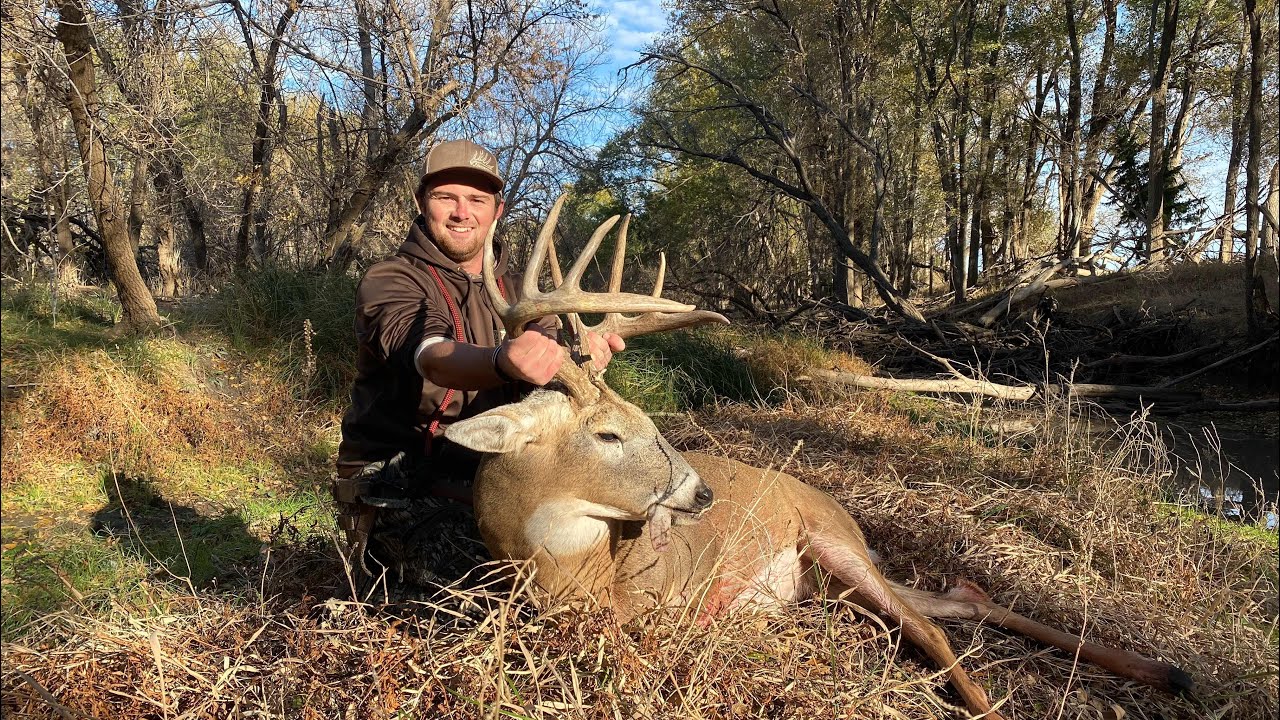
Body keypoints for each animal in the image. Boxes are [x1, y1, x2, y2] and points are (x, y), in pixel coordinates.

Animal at [444, 197, 1194, 720]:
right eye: (607, 434)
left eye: (650, 421)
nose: (702, 493)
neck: (567, 572)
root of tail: (844, 516)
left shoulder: (672, 600)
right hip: (833, 585)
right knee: (956, 604)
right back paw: (1167, 671)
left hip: (831, 542)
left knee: (930, 627)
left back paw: (1001, 702)